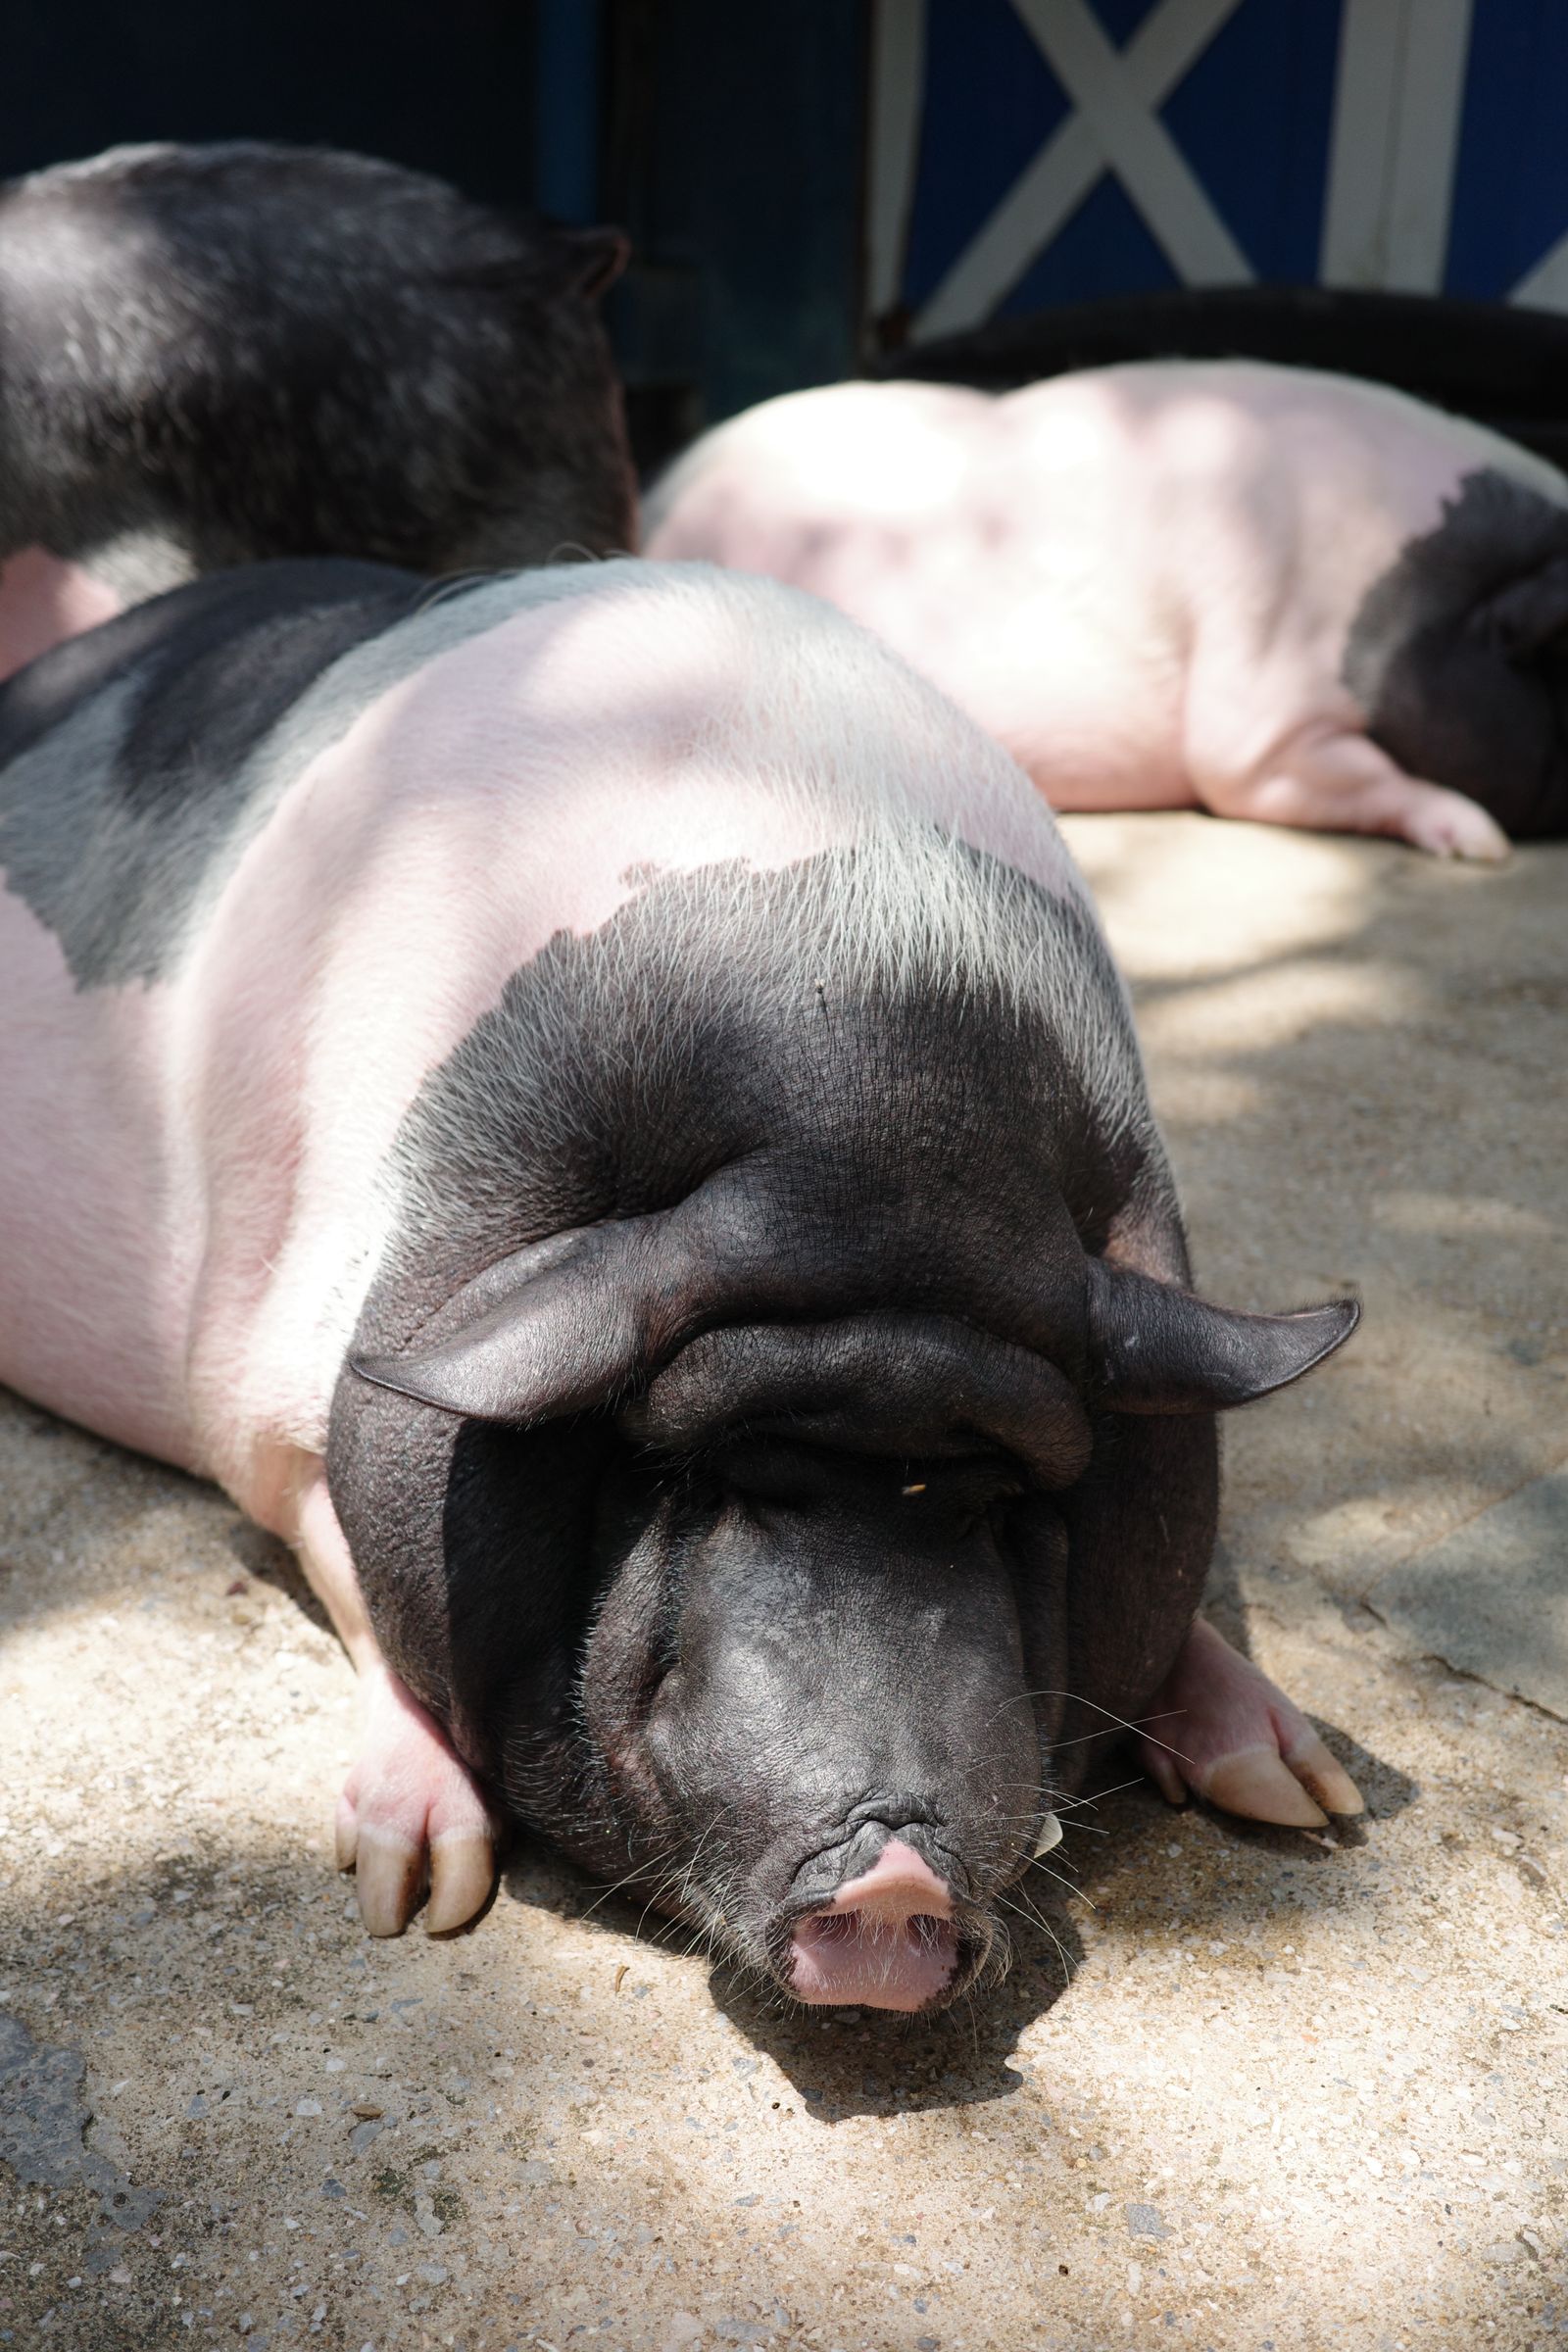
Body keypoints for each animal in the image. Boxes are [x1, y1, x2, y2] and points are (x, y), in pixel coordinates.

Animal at [0, 554, 1363, 2012]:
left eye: (1005, 1498)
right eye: (691, 1478)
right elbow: (343, 1564)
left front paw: (1307, 1797)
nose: (892, 1877)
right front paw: (417, 1900)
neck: (871, 1048)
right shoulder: (260, 1398)